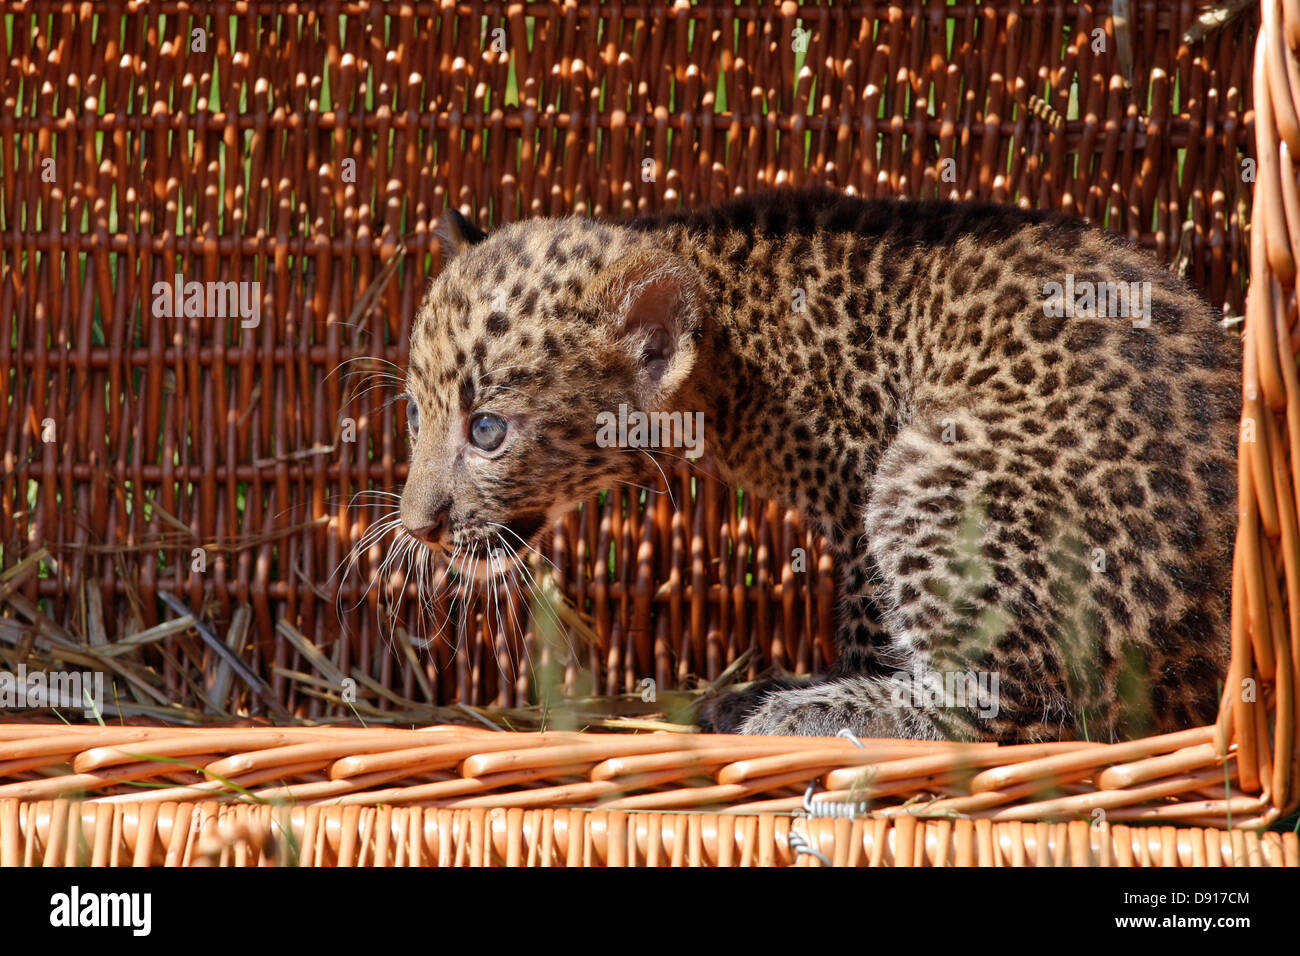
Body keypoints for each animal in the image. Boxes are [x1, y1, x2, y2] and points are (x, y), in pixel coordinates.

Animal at [398, 187, 1239, 743]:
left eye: (488, 430)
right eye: (413, 414)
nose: (416, 527)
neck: (735, 348)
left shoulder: (864, 474)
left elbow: (871, 621)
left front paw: (834, 688)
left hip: (937, 471)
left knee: (1009, 709)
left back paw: (802, 708)